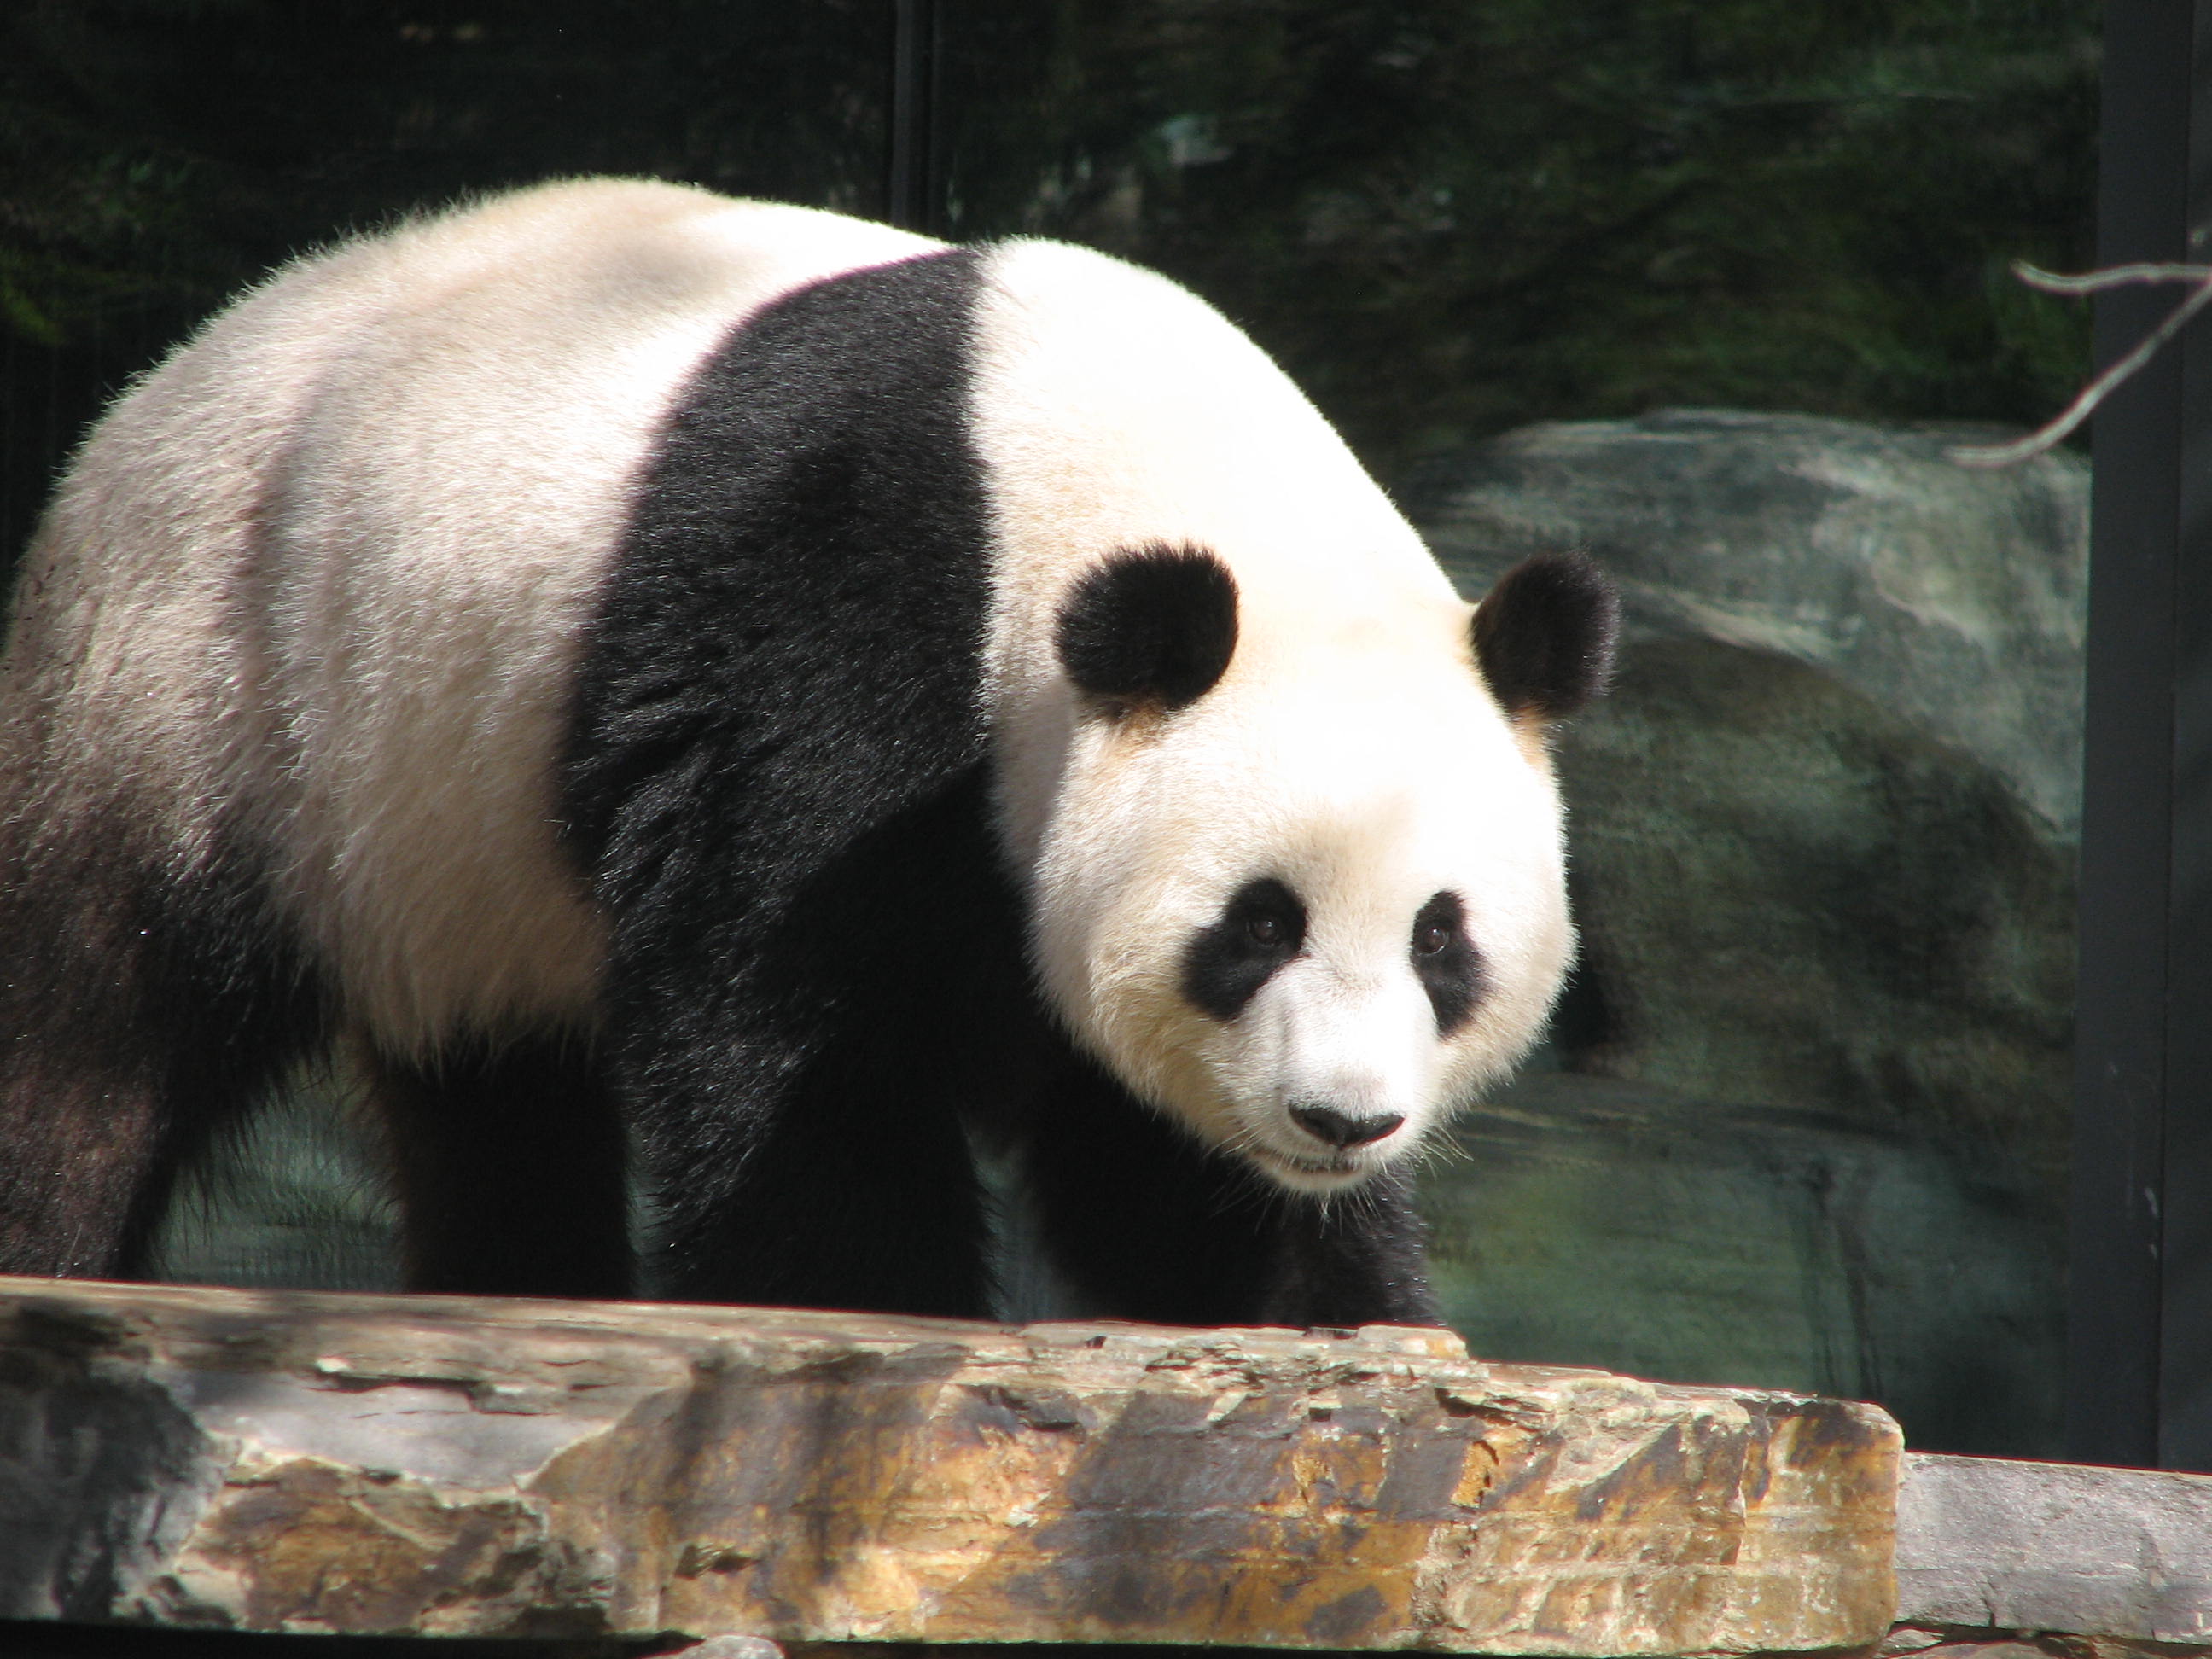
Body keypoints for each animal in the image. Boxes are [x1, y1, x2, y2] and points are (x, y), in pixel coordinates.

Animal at [0, 178, 1614, 1329]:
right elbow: (784, 1021)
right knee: (98, 1021)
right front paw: (875, 1312)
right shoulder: (841, 597)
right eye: (1258, 924)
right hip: (203, 677)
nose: (1341, 1119)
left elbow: (1161, 1164)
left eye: (1442, 938)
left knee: (492, 1086)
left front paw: (1344, 1319)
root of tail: (152, 384)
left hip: (438, 826)